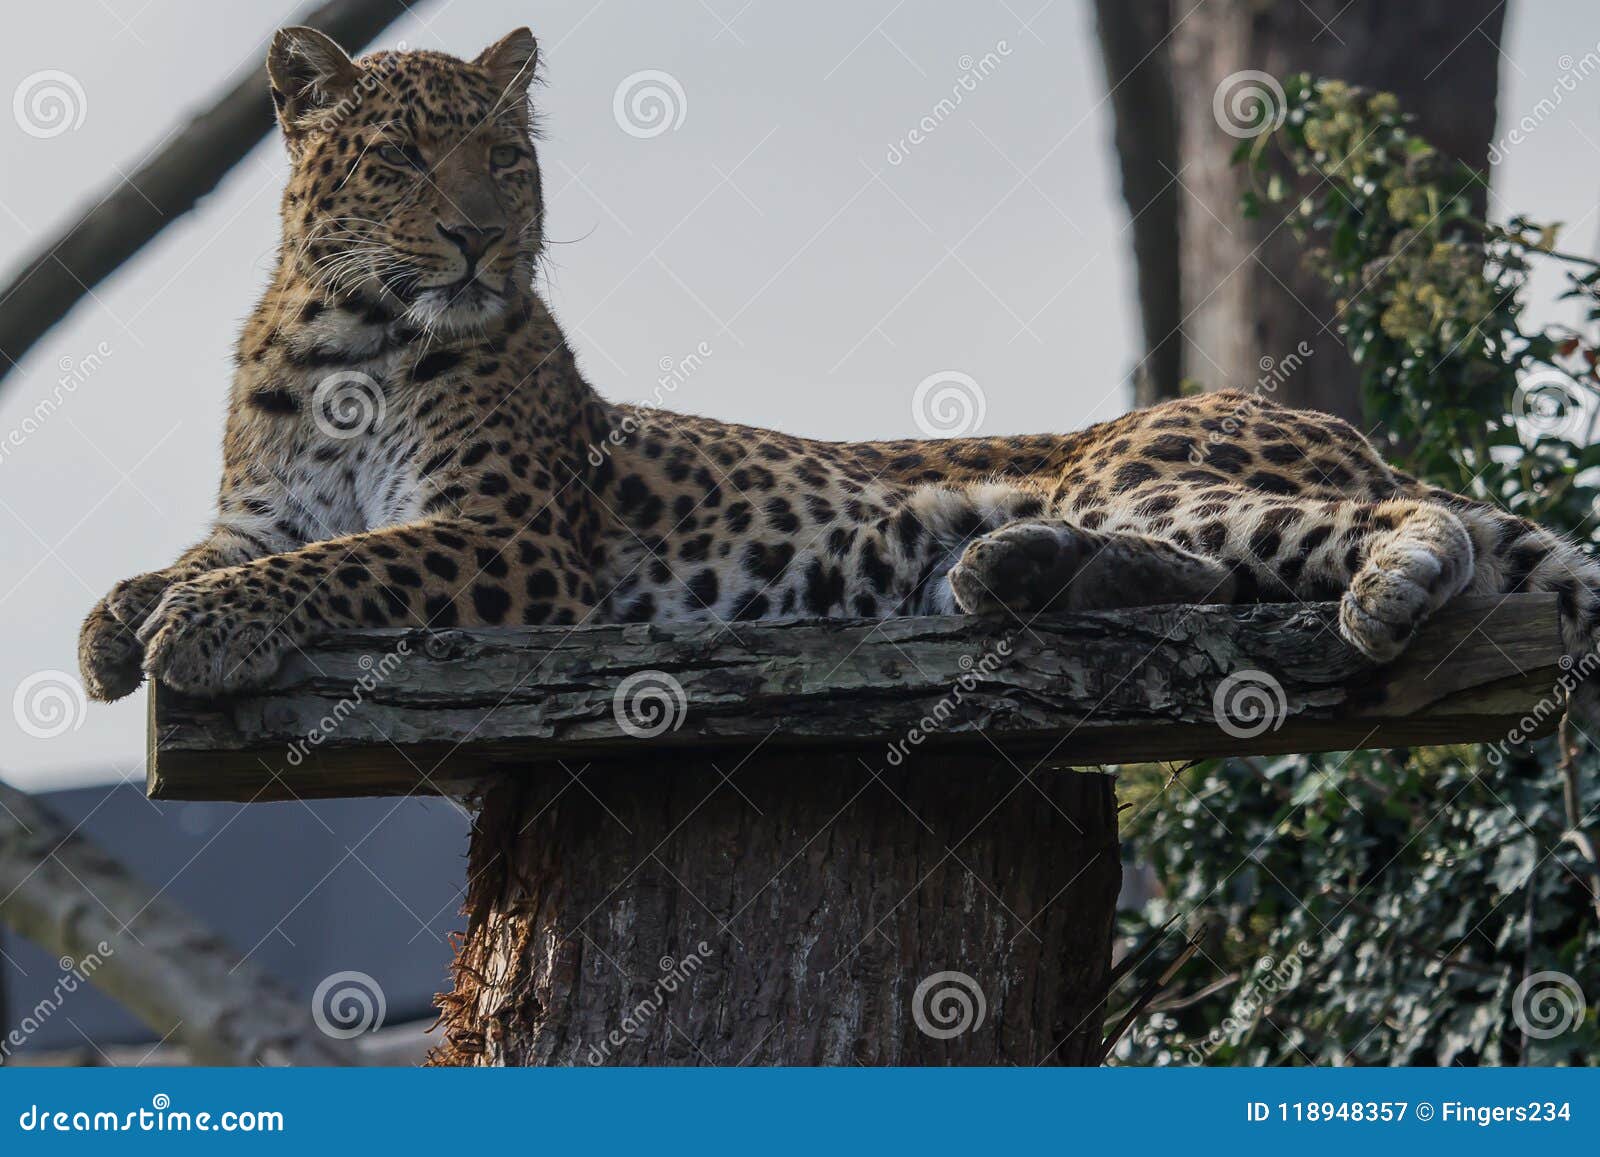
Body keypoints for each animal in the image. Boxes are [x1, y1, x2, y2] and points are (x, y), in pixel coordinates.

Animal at [77, 26, 1600, 733]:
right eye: (399, 159)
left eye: (503, 159)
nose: (478, 237)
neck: (344, 332)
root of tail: (1328, 424)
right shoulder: (256, 514)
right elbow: (193, 557)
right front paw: (114, 623)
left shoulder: (508, 536)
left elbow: (341, 564)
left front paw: (203, 629)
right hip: (1140, 505)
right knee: (1214, 574)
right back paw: (1009, 568)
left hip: (1155, 468)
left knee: (1402, 533)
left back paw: (1387, 584)